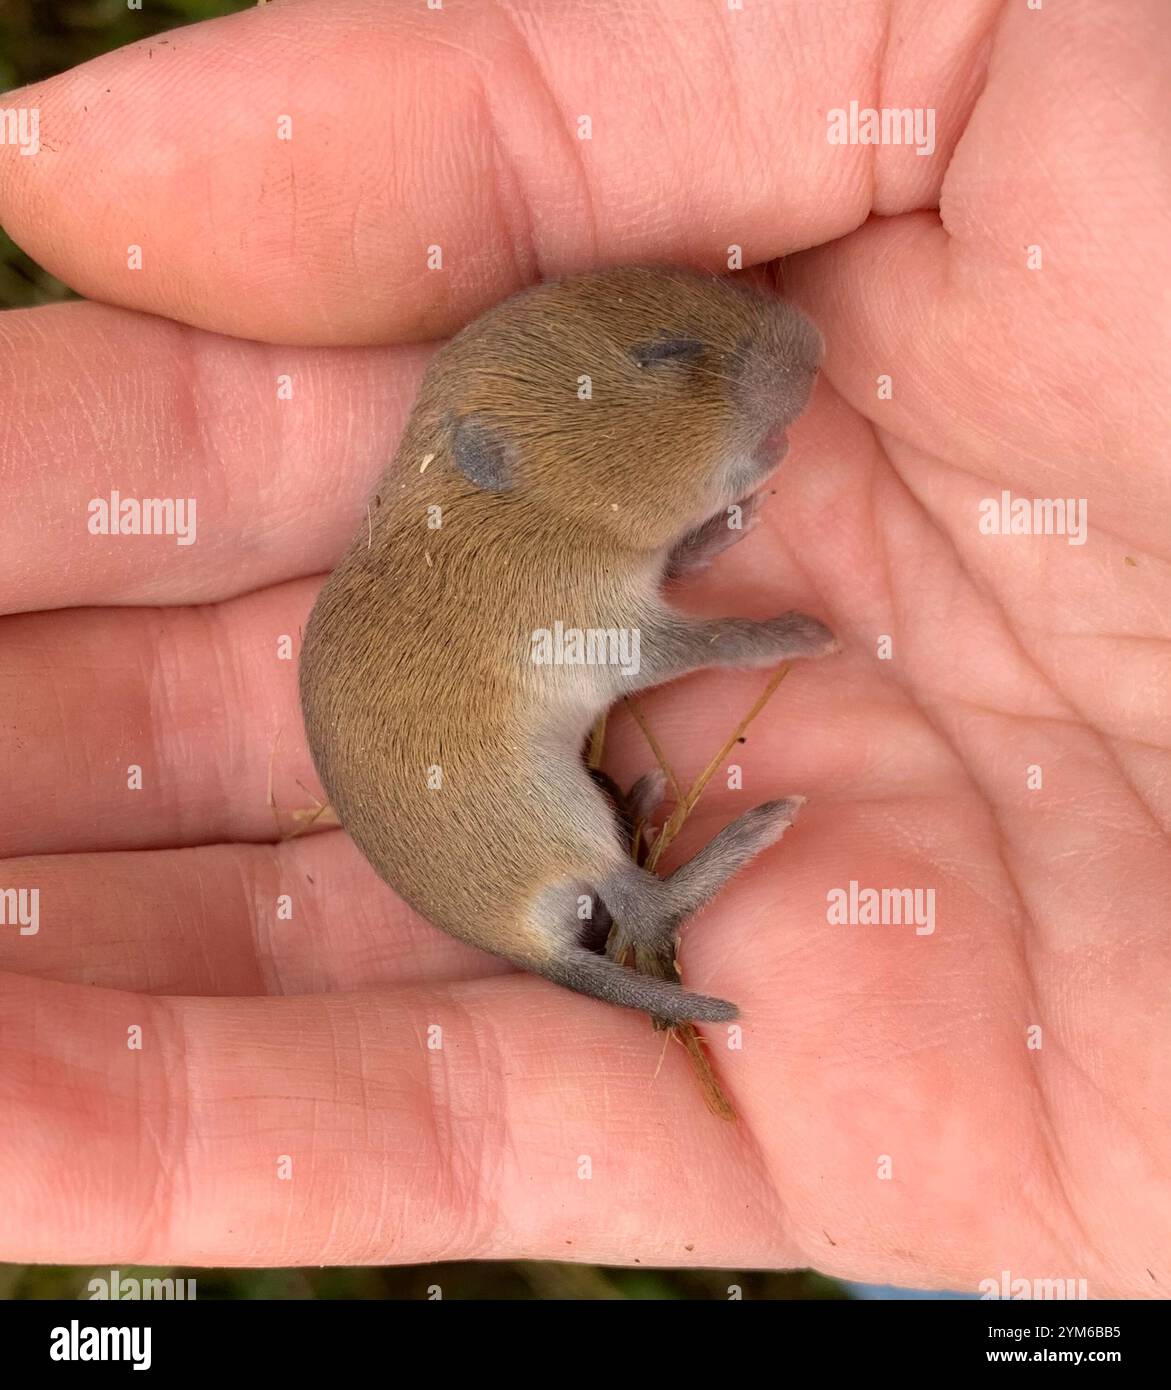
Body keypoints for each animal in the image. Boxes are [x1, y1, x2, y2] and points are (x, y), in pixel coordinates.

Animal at [299, 265, 836, 1023]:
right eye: (663, 354)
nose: (817, 344)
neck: (537, 510)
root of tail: (529, 949)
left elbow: (679, 562)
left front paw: (729, 526)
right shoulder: (614, 635)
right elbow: (718, 639)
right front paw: (801, 635)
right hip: (555, 807)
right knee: (644, 907)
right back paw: (758, 825)